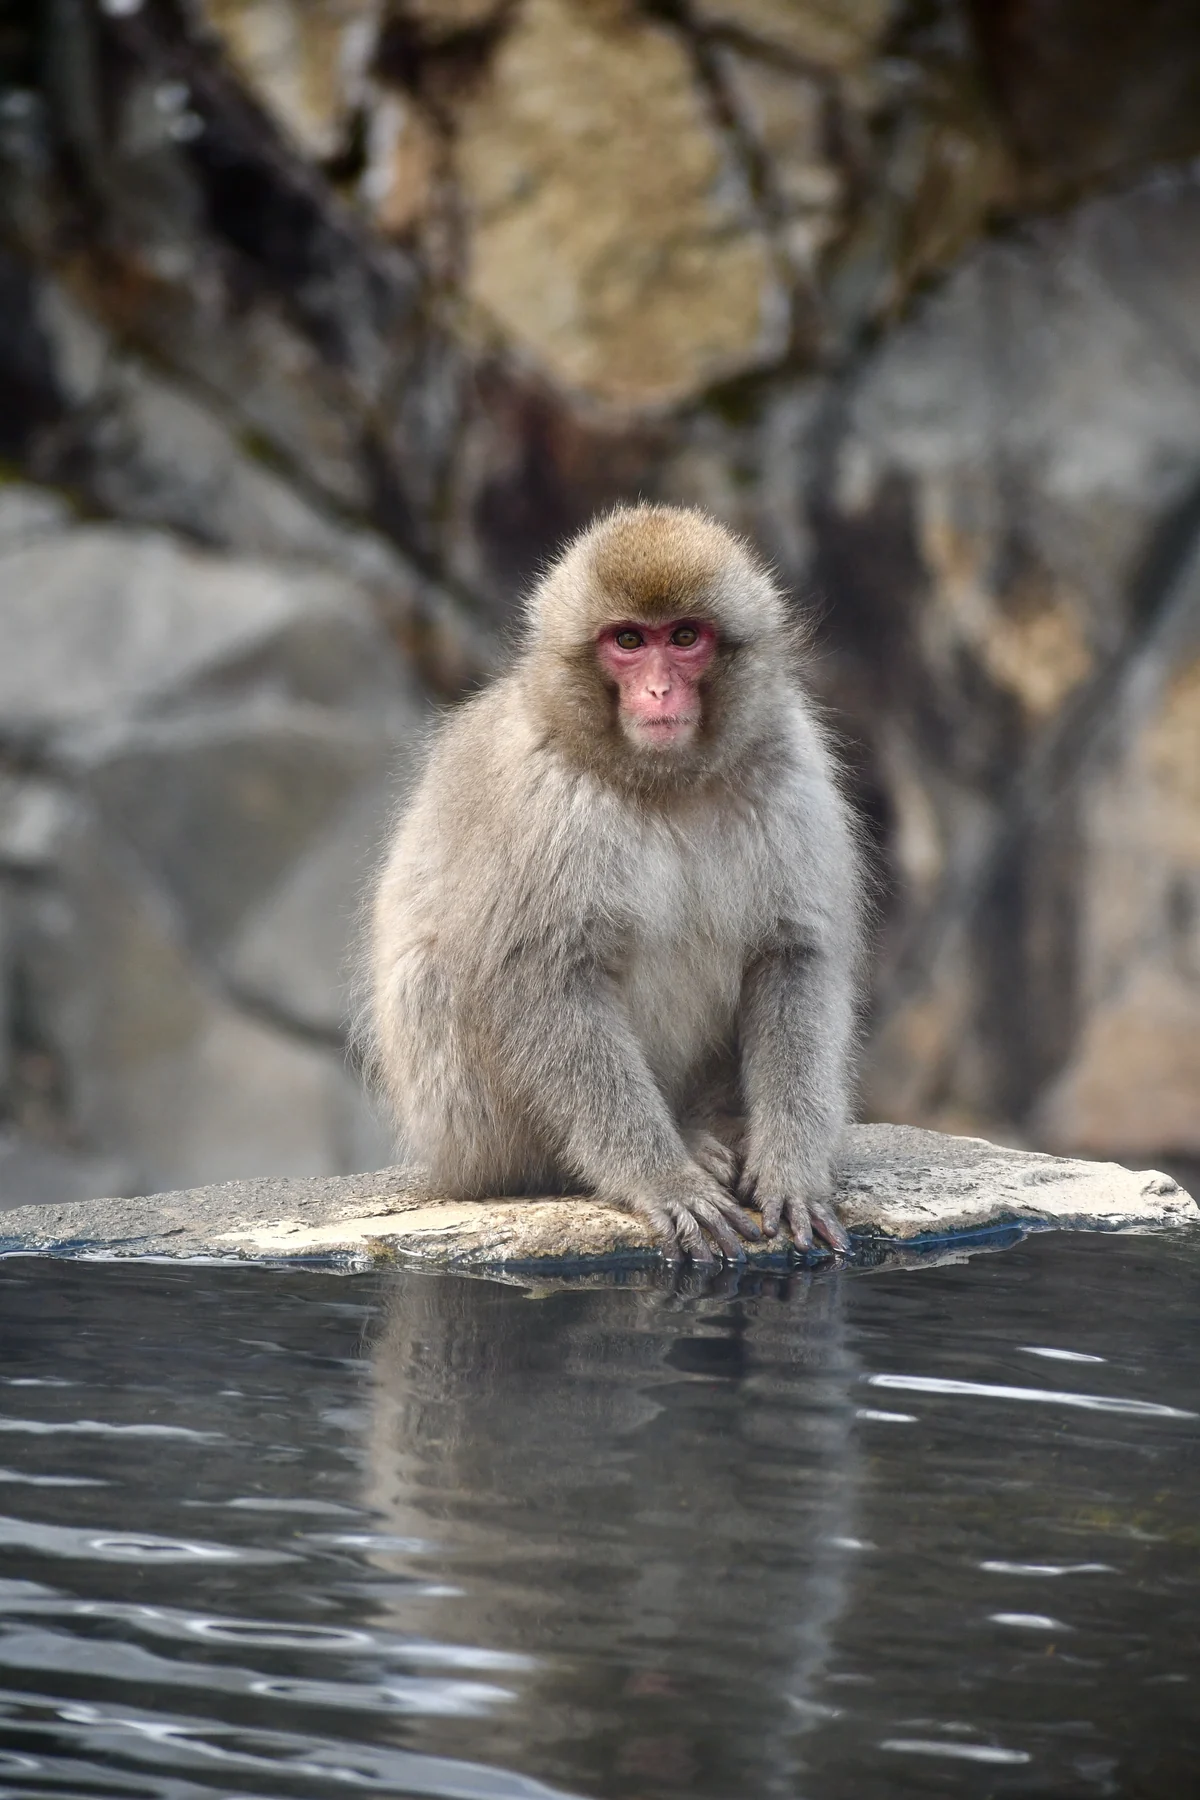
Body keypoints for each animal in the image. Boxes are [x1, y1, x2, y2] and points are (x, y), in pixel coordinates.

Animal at [365, 503, 863, 1262]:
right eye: (628, 640)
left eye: (684, 637)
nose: (658, 690)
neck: (665, 784)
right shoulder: (538, 793)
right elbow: (539, 980)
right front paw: (661, 1179)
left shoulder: (788, 764)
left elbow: (792, 955)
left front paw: (792, 1167)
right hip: (463, 1134)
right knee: (435, 978)